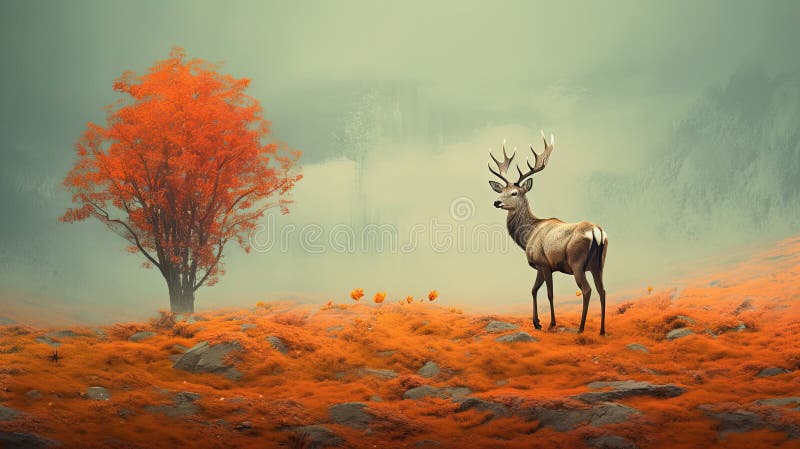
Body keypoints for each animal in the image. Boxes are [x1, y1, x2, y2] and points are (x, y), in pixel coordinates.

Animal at [488, 131, 608, 335]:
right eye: (502, 190)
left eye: (514, 193)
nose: (497, 202)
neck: (528, 236)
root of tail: (596, 232)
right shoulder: (539, 266)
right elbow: (533, 290)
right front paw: (536, 322)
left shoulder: (543, 262)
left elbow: (549, 293)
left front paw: (550, 323)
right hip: (599, 264)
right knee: (603, 291)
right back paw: (601, 330)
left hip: (577, 263)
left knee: (587, 290)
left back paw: (580, 328)